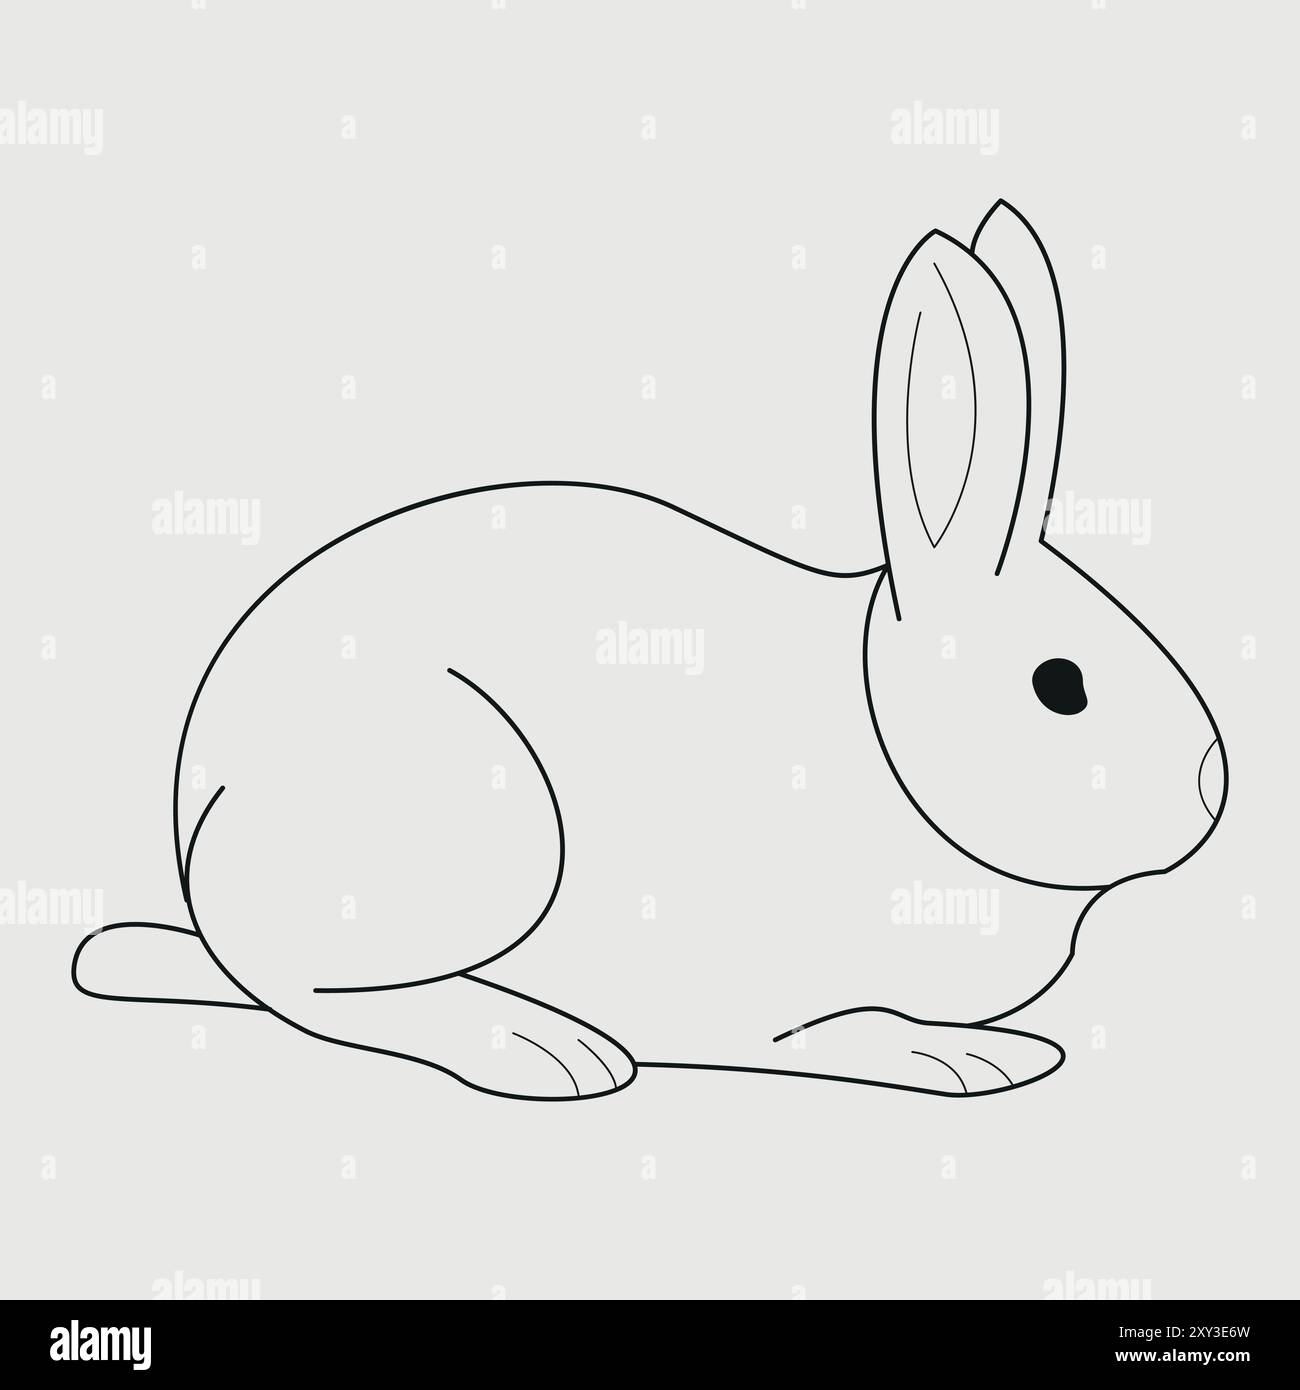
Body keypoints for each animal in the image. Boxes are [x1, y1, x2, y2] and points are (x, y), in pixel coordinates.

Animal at [73, 201, 1226, 1101]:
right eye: (1060, 687)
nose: (1217, 785)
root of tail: (198, 829)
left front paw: (1009, 1047)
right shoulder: (770, 1004)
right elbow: (847, 1033)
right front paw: (958, 1058)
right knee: (318, 992)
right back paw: (545, 1046)